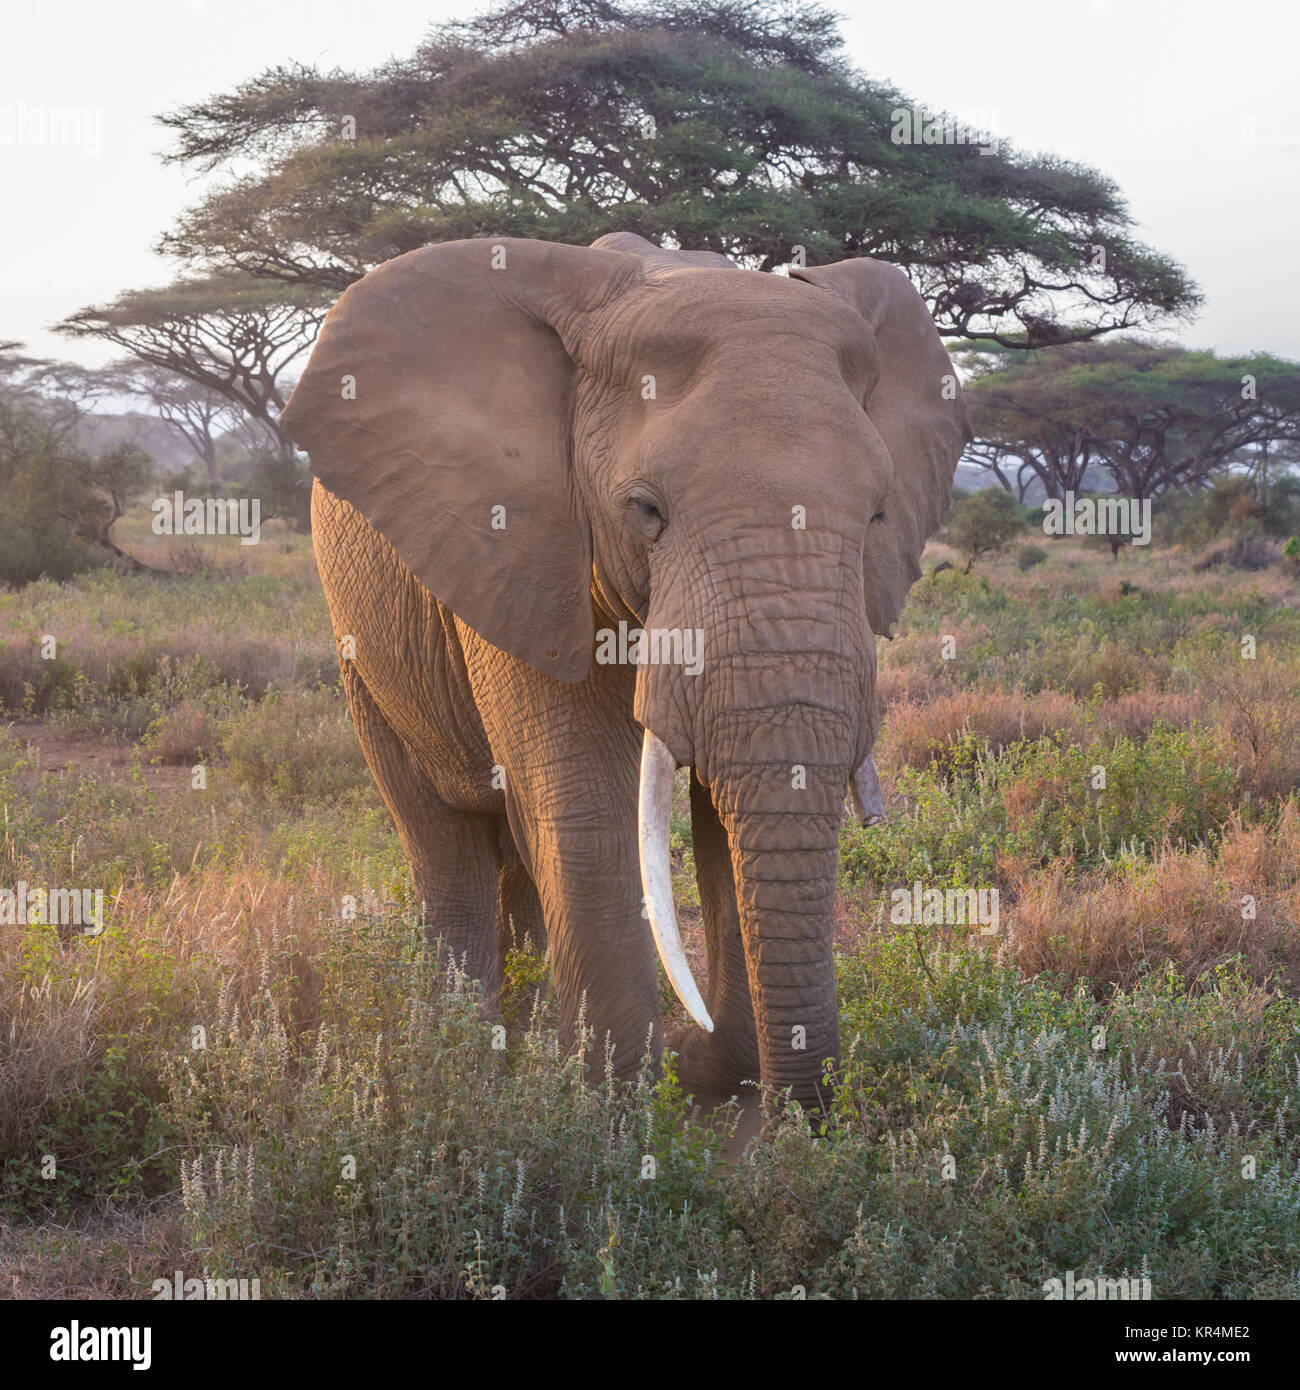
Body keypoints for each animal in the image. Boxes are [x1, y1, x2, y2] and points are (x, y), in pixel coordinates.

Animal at [280, 232, 969, 1111]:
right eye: (645, 510)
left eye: (879, 513)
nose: (807, 1115)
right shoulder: (524, 544)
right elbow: (589, 805)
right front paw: (619, 1104)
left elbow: (718, 818)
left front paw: (702, 1074)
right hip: (362, 644)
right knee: (443, 840)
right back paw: (463, 1062)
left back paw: (523, 1042)